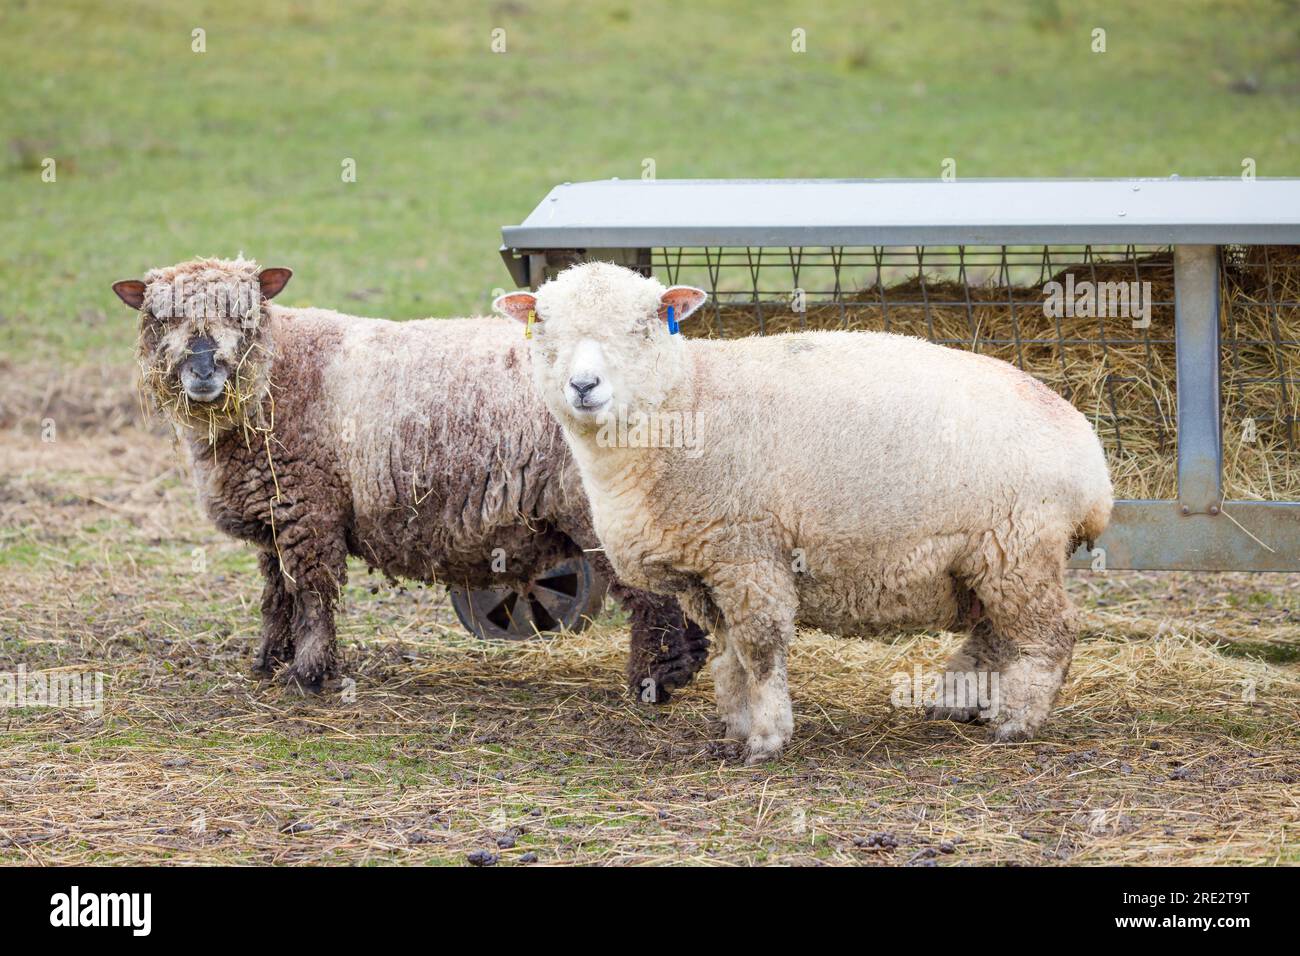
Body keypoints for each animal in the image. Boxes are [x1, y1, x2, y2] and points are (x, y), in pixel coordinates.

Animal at [111, 256, 708, 697]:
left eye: (245, 316)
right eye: (160, 319)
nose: (203, 370)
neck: (280, 373)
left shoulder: (309, 507)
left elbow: (311, 595)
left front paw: (308, 674)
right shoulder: (277, 516)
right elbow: (276, 594)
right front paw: (267, 662)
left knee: (651, 597)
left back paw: (655, 680)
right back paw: (687, 665)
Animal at [497, 261, 1114, 763]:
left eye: (643, 324)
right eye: (542, 325)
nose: (584, 385)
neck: (689, 399)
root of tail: (1090, 456)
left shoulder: (749, 553)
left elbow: (761, 651)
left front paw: (768, 738)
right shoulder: (706, 573)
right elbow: (730, 658)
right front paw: (736, 729)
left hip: (1019, 545)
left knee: (1051, 634)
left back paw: (1016, 722)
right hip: (985, 557)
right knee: (997, 632)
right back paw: (967, 702)